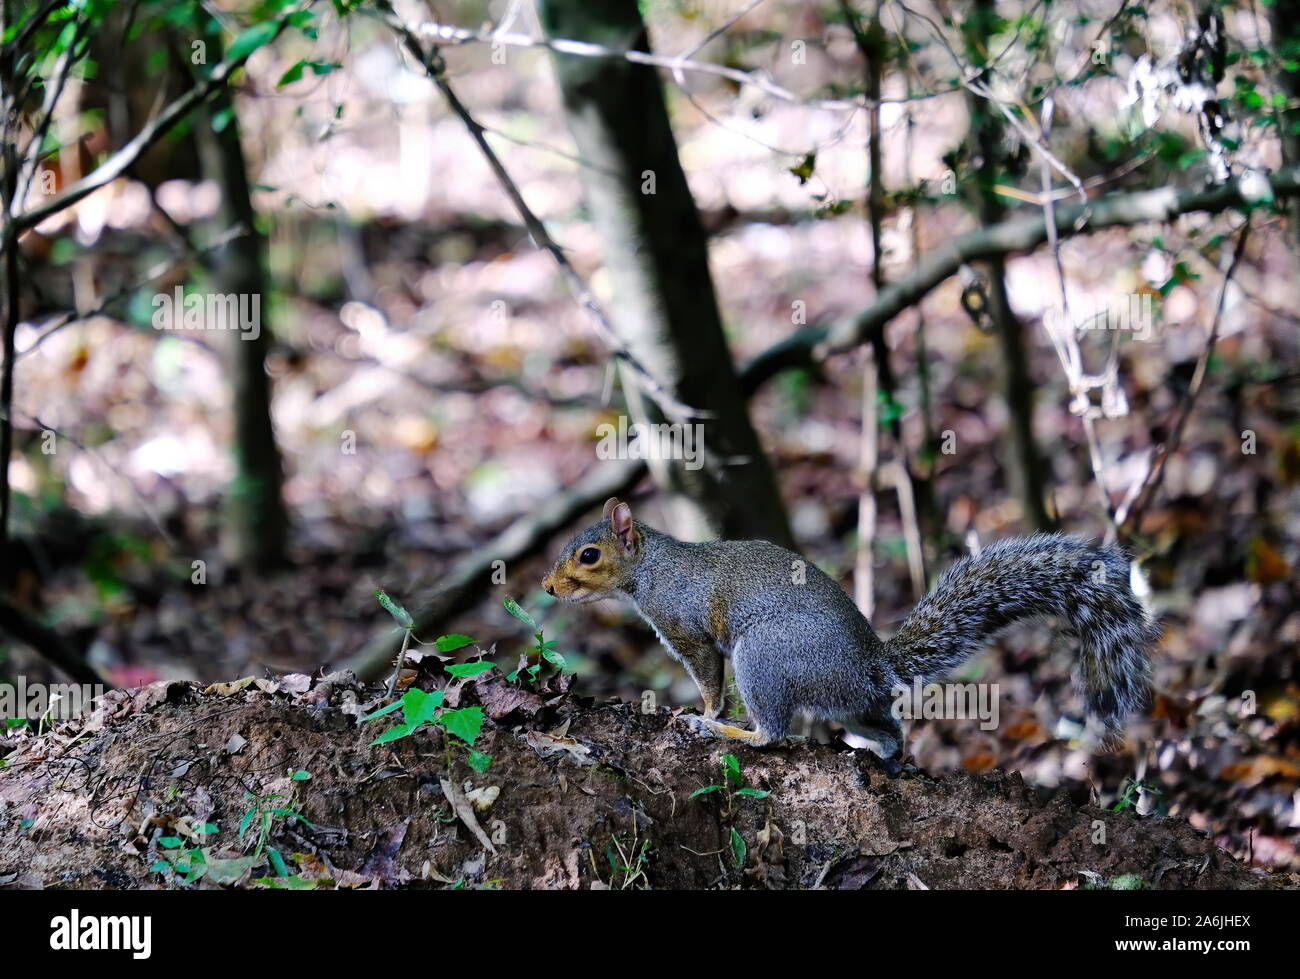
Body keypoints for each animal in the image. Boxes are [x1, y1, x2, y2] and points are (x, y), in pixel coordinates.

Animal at [541, 498, 1158, 755]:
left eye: (589, 556)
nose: (548, 587)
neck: (650, 567)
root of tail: (875, 667)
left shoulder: (689, 632)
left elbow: (710, 680)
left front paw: (707, 715)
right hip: (847, 699)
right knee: (890, 728)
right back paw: (881, 750)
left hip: (765, 657)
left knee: (773, 735)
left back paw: (731, 734)